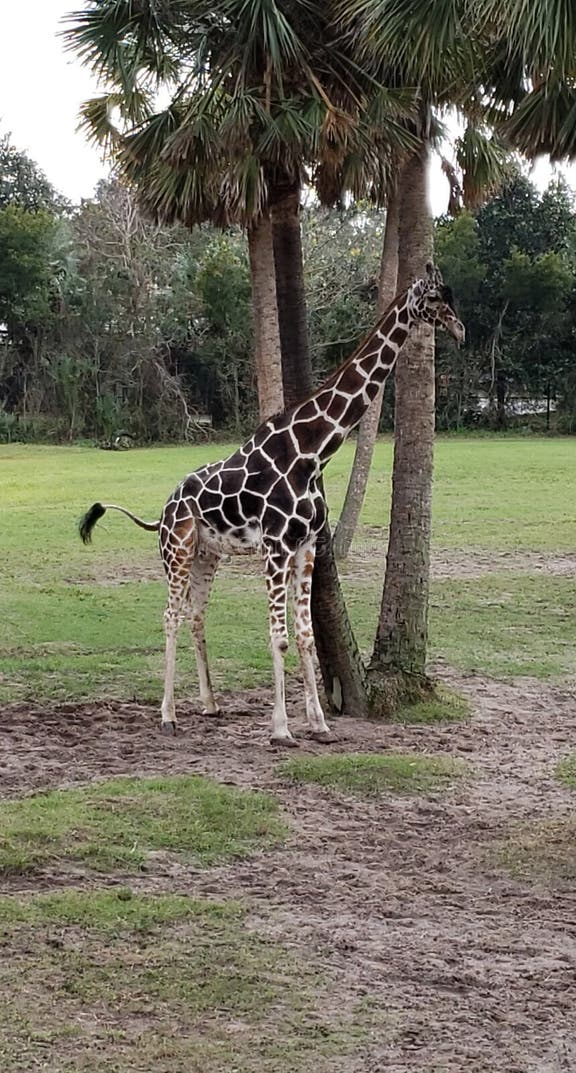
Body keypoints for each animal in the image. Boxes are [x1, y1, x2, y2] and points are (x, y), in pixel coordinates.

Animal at [79, 262, 464, 745]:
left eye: (452, 296)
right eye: (433, 299)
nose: (460, 330)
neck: (313, 452)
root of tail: (164, 509)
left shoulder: (307, 546)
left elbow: (303, 635)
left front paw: (319, 723)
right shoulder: (277, 547)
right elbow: (277, 636)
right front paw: (281, 728)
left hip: (208, 554)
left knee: (195, 614)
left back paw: (210, 703)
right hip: (177, 551)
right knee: (169, 614)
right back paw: (168, 714)